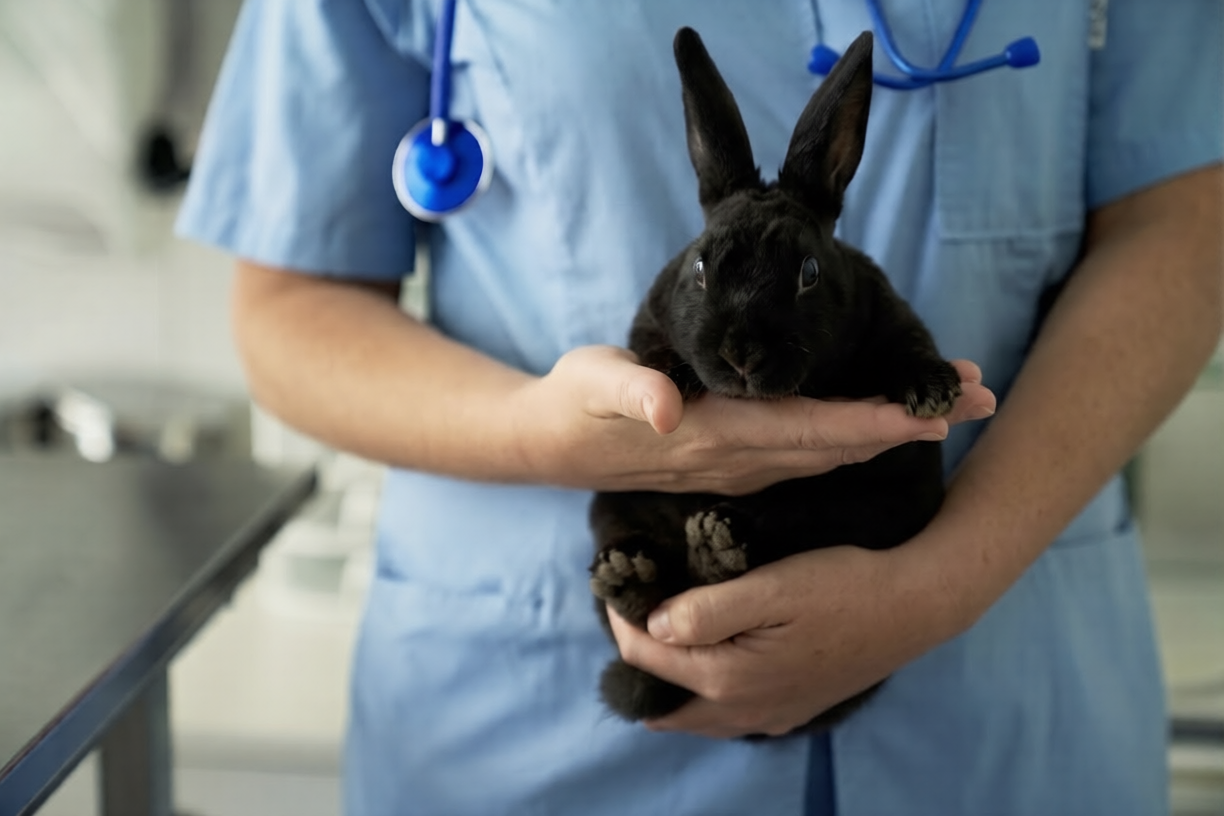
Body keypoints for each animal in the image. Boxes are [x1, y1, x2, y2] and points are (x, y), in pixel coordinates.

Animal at [587, 28, 963, 736]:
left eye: (810, 272)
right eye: (700, 266)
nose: (740, 352)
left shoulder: (890, 321)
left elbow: (908, 347)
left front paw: (933, 388)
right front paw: (667, 375)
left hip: (851, 516)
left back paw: (715, 542)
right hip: (616, 507)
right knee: (652, 602)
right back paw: (629, 571)